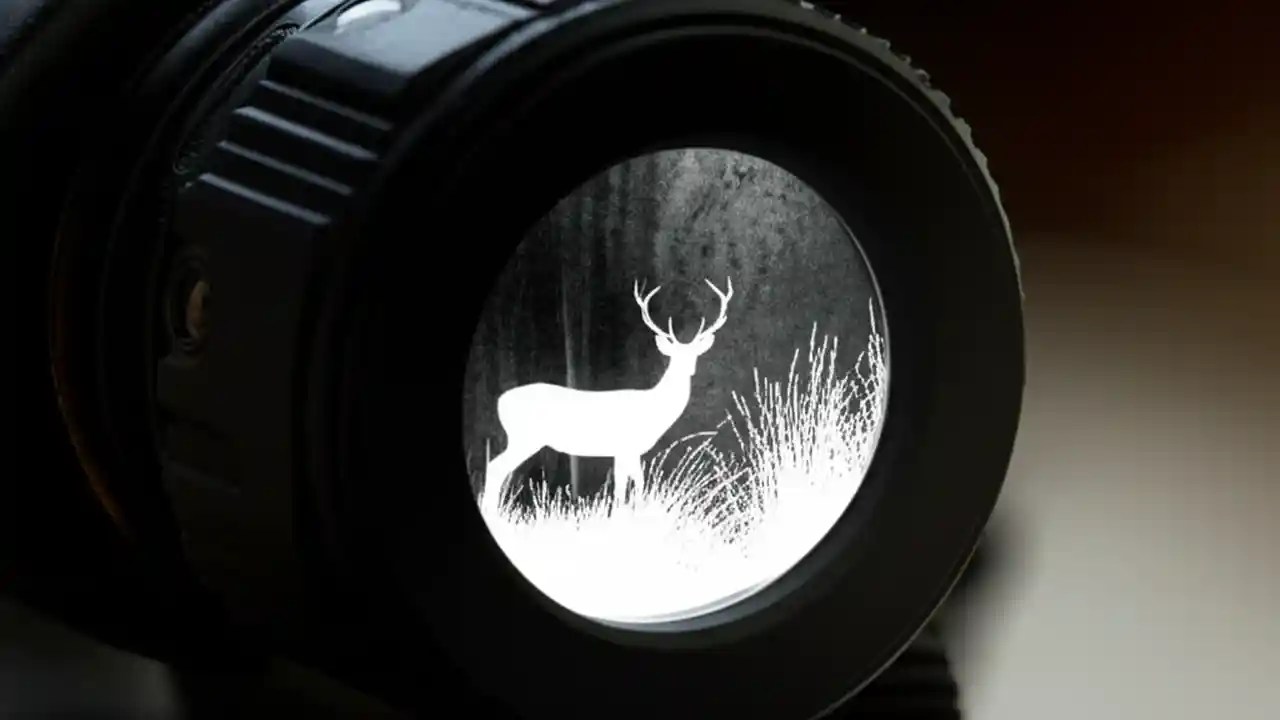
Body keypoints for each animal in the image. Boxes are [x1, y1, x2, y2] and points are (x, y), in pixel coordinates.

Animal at [482, 277, 734, 518]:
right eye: (675, 356)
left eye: (694, 355)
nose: (689, 369)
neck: (654, 408)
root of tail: (500, 401)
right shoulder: (627, 445)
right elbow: (632, 486)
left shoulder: (624, 451)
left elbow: (627, 487)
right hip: (525, 437)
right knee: (495, 466)